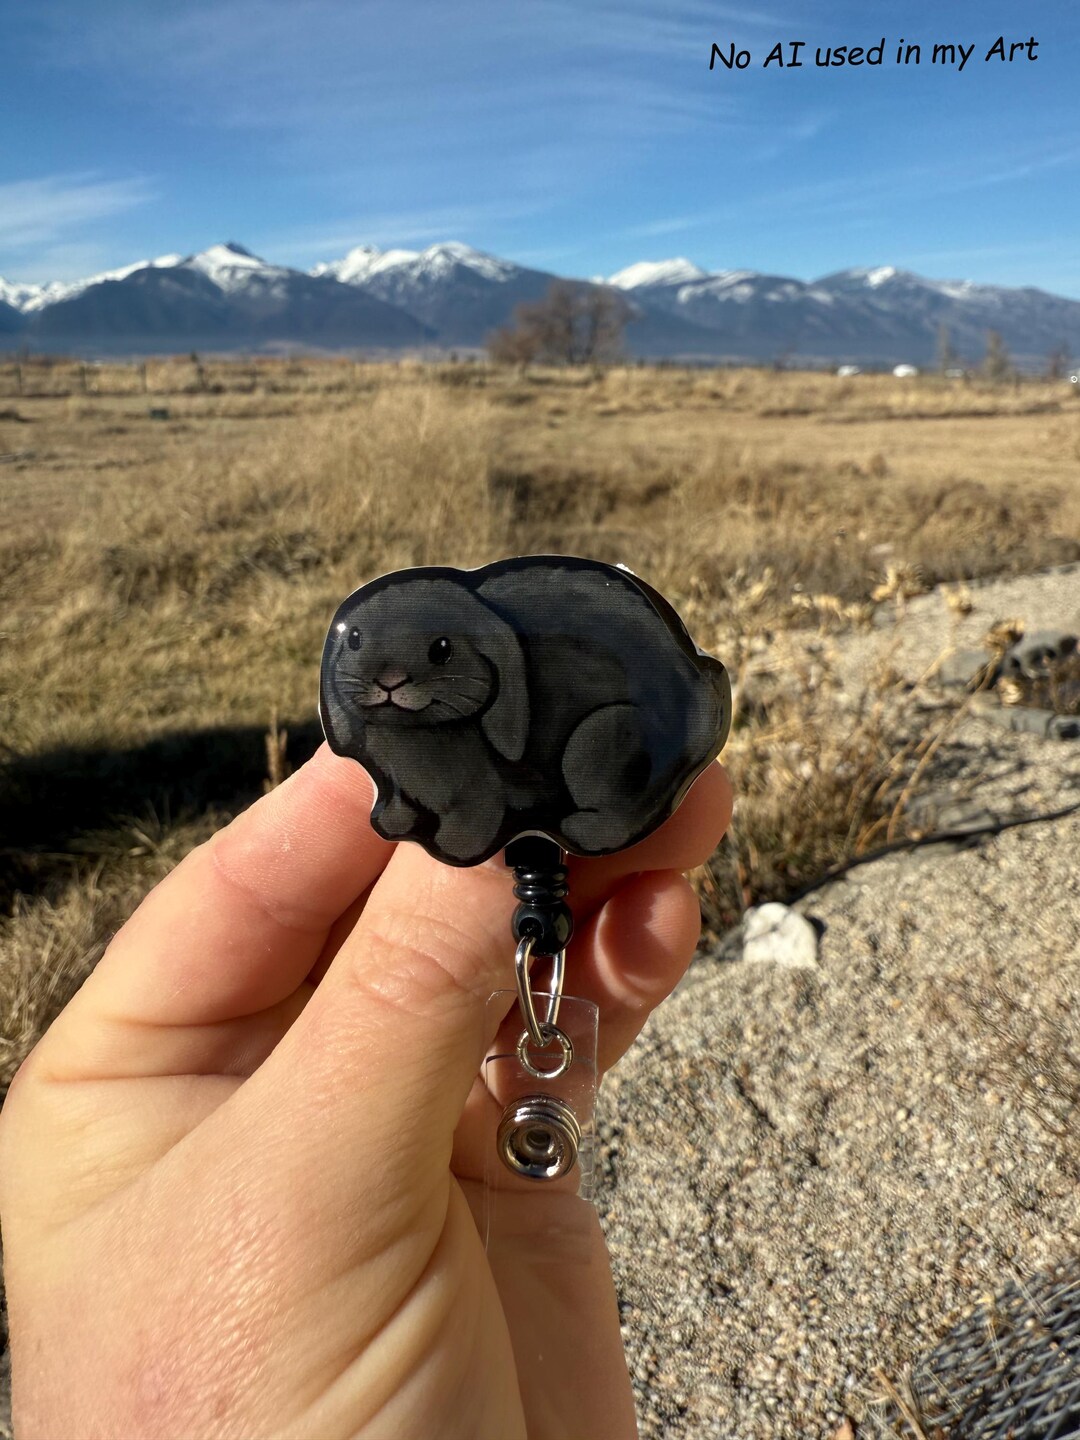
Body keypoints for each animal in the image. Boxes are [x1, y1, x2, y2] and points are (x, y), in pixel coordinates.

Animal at [320, 555, 730, 867]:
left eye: (442, 649)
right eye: (354, 639)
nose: (389, 681)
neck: (409, 734)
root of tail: (702, 687)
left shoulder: (478, 795)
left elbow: (471, 826)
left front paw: (453, 848)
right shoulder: (395, 784)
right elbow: (400, 804)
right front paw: (393, 824)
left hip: (598, 737)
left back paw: (584, 829)